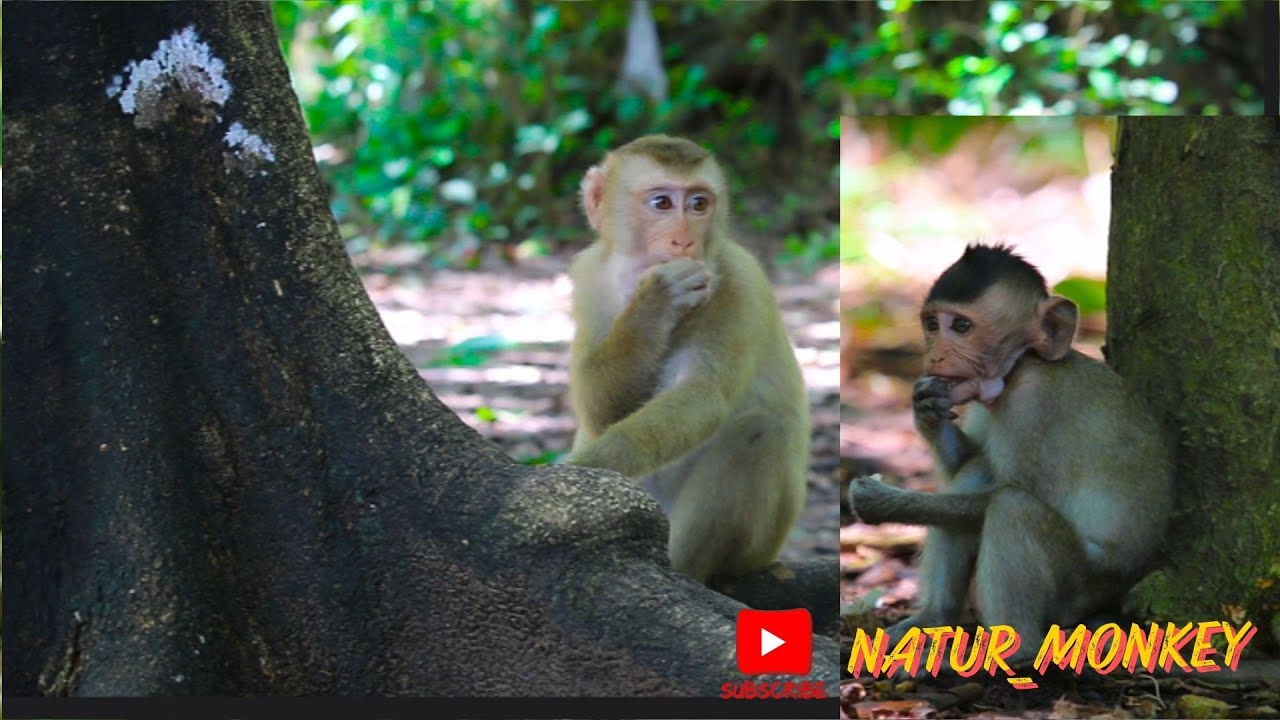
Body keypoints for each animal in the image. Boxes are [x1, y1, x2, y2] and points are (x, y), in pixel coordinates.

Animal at [563, 135, 810, 584]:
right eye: (661, 203)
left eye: (699, 204)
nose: (684, 241)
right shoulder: (590, 276)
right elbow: (599, 413)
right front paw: (654, 305)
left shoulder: (735, 283)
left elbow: (703, 396)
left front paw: (581, 469)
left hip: (758, 547)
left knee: (759, 433)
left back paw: (683, 569)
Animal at [847, 243, 1174, 666]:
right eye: (932, 324)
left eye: (962, 327)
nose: (935, 357)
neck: (1021, 365)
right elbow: (967, 460)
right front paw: (925, 408)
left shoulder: (1031, 403)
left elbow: (1016, 496)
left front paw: (884, 502)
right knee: (978, 469)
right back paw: (932, 618)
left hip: (1081, 588)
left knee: (1011, 507)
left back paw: (1020, 649)